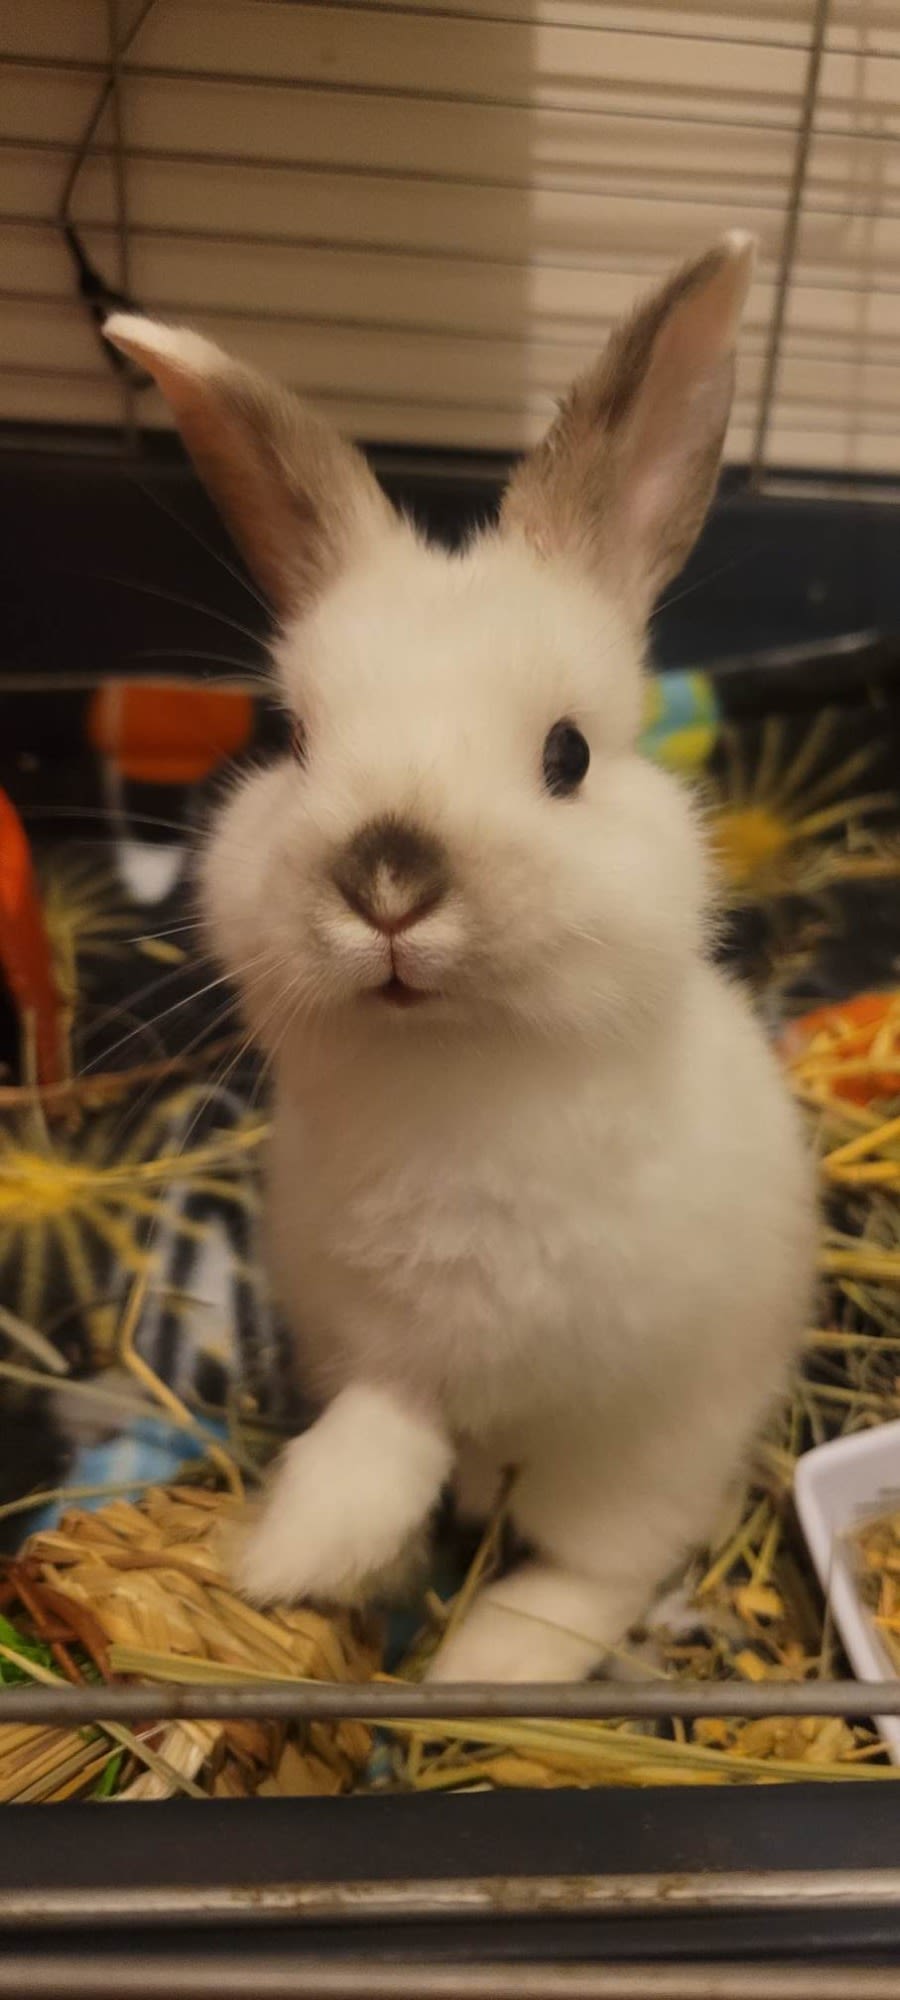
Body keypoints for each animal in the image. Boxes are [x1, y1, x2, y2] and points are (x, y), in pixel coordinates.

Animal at [104, 232, 815, 1683]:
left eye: (568, 754)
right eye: (291, 737)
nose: (389, 878)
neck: (456, 1076)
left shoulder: (597, 1392)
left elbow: (557, 1525)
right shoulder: (385, 1348)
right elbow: (388, 1427)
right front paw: (293, 1550)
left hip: (660, 1455)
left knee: (595, 1569)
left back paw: (489, 1663)